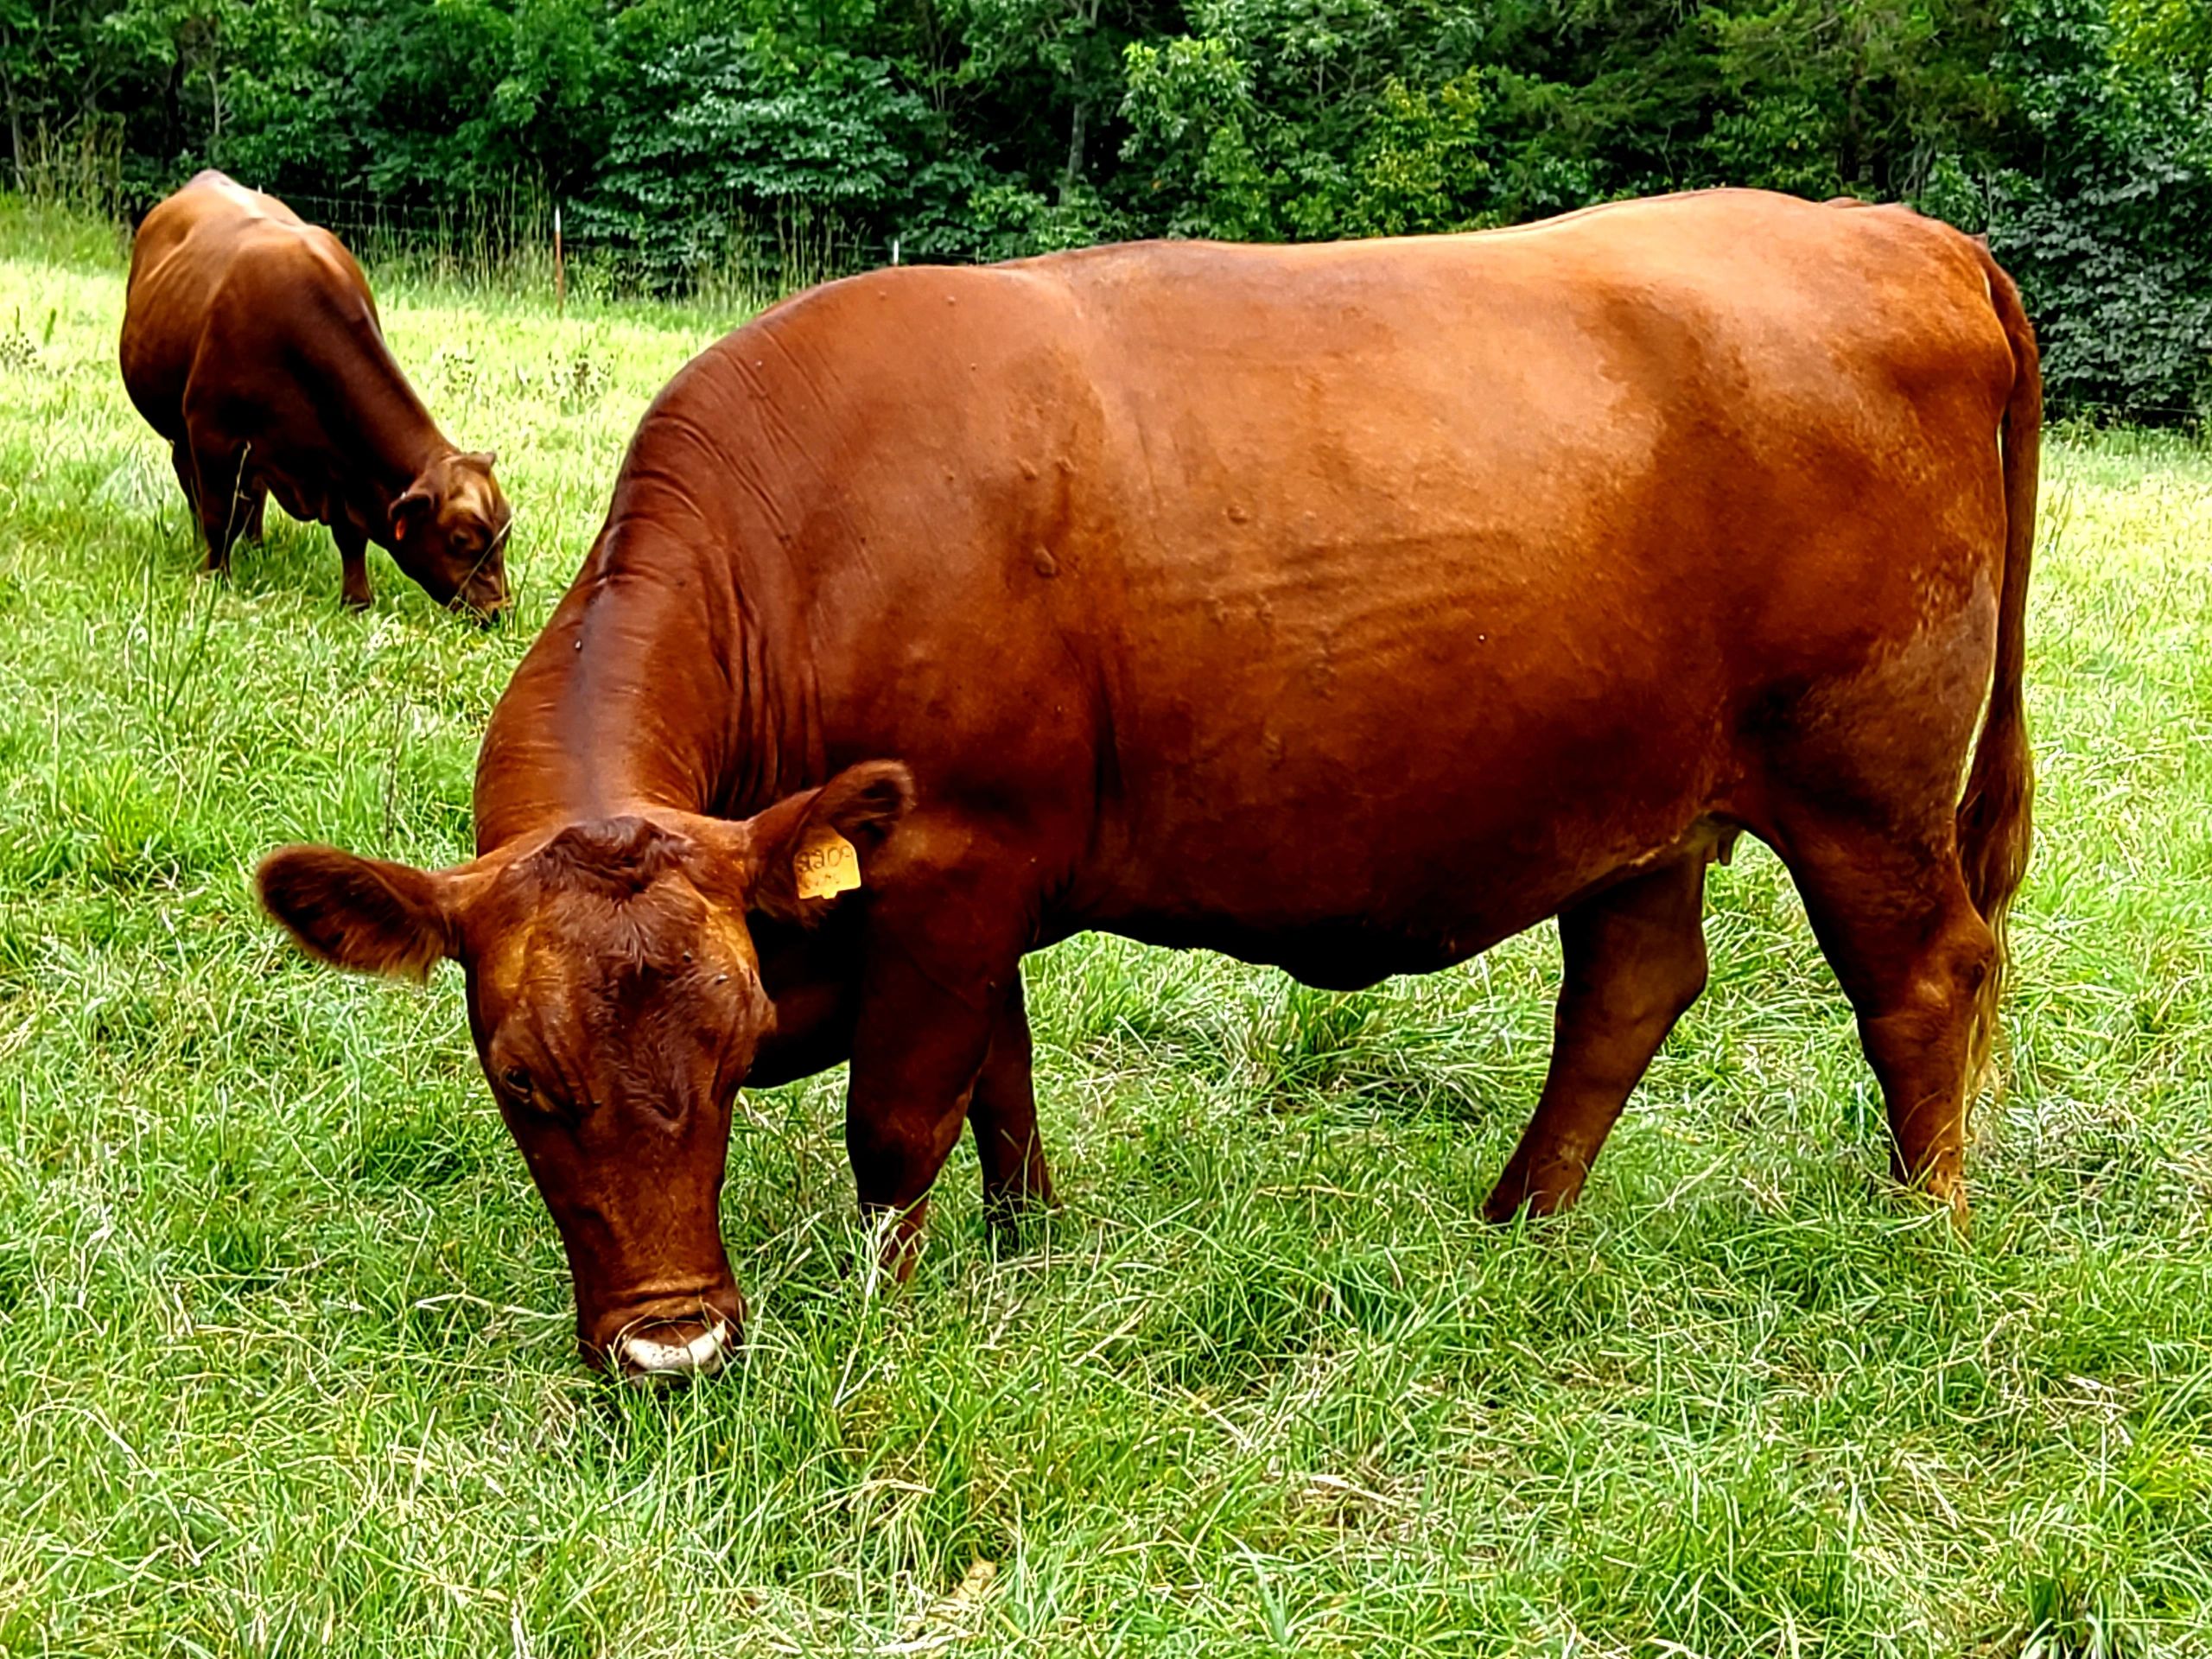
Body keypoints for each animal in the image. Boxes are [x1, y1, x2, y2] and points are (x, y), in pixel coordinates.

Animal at [120, 170, 512, 618]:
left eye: (504, 533)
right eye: (461, 540)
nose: (500, 610)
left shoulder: (344, 464)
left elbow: (350, 535)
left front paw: (357, 600)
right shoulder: (212, 434)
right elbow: (220, 512)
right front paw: (216, 577)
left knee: (253, 493)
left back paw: (256, 546)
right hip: (181, 431)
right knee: (194, 486)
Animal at [256, 189, 2038, 1383]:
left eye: (734, 1041)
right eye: (522, 1082)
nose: (673, 1348)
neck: (807, 536)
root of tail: (1902, 230)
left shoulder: (955, 859)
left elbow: (902, 1115)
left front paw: (889, 1317)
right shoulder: (940, 872)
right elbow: (1004, 1076)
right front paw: (1026, 1238)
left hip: (1859, 780)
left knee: (1923, 981)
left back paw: (1923, 1241)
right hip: (1641, 801)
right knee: (1630, 989)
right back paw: (1517, 1227)